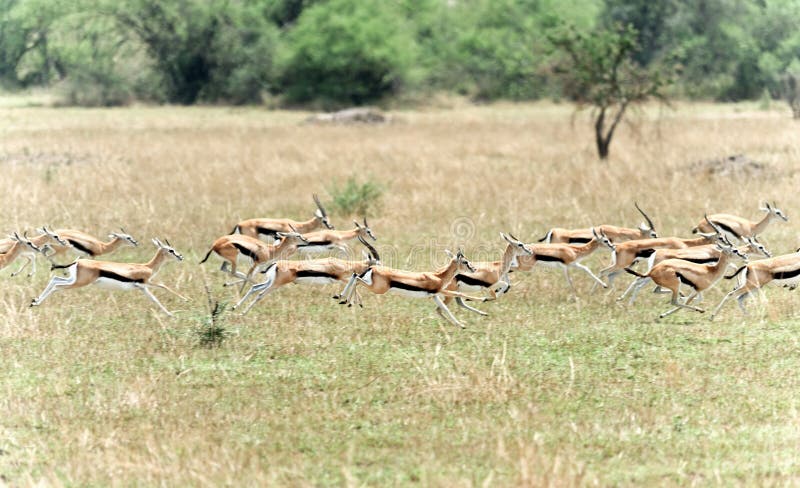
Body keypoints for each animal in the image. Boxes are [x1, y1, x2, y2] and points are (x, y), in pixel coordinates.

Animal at [30, 239, 186, 317]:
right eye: (171, 250)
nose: (180, 256)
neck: (148, 266)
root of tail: (77, 262)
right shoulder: (145, 283)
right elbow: (163, 287)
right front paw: (184, 301)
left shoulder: (142, 288)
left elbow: (155, 298)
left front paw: (171, 314)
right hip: (78, 283)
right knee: (57, 285)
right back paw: (36, 302)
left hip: (73, 280)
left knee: (55, 279)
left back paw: (35, 302)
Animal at [232, 236, 381, 314]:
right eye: (377, 263)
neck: (344, 264)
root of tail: (275, 264)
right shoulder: (340, 278)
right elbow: (354, 284)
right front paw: (344, 299)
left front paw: (351, 302)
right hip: (275, 285)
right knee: (260, 294)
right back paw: (243, 312)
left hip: (270, 282)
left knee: (254, 288)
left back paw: (235, 307)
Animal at [337, 249, 490, 329]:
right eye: (465, 261)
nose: (474, 269)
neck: (438, 276)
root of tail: (372, 268)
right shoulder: (440, 291)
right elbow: (459, 295)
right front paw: (483, 301)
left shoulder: (434, 295)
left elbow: (443, 309)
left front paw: (460, 324)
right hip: (378, 289)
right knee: (356, 278)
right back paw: (346, 300)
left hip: (371, 284)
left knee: (355, 276)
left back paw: (344, 299)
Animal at [617, 236, 771, 305]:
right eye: (761, 246)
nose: (769, 253)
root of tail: (655, 252)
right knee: (640, 283)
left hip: (652, 275)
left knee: (640, 282)